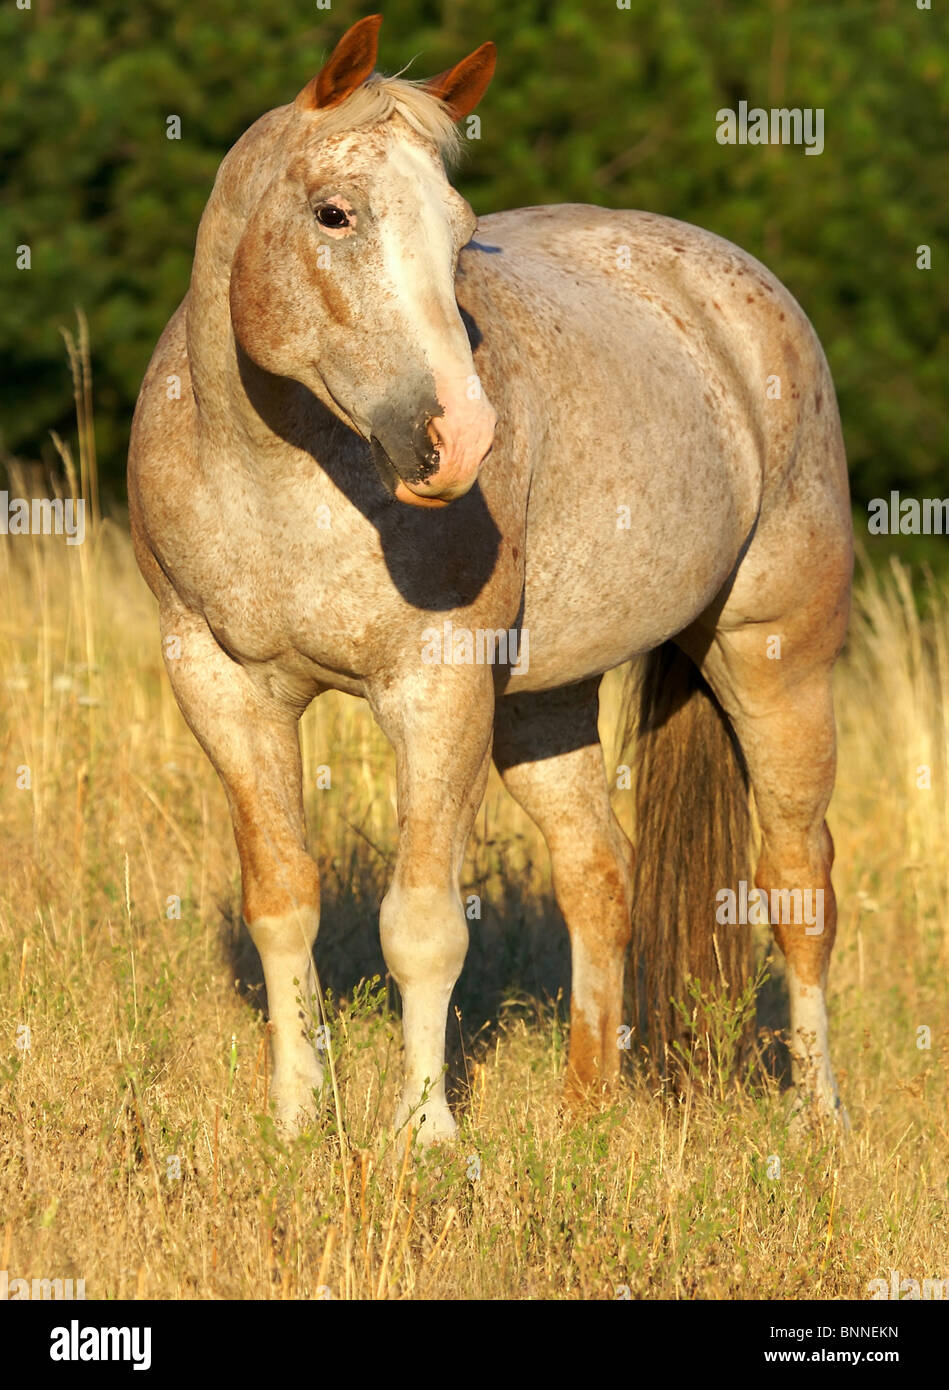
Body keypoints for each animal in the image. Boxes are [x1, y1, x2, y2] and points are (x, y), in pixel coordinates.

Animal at [128, 14, 853, 1143]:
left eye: (461, 233)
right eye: (334, 214)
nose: (462, 437)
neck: (272, 474)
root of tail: (737, 286)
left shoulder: (436, 691)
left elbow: (422, 925)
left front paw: (424, 1137)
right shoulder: (220, 686)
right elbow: (281, 902)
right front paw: (296, 1119)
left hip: (775, 663)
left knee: (795, 885)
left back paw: (816, 1121)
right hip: (542, 702)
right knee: (600, 875)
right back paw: (586, 1111)